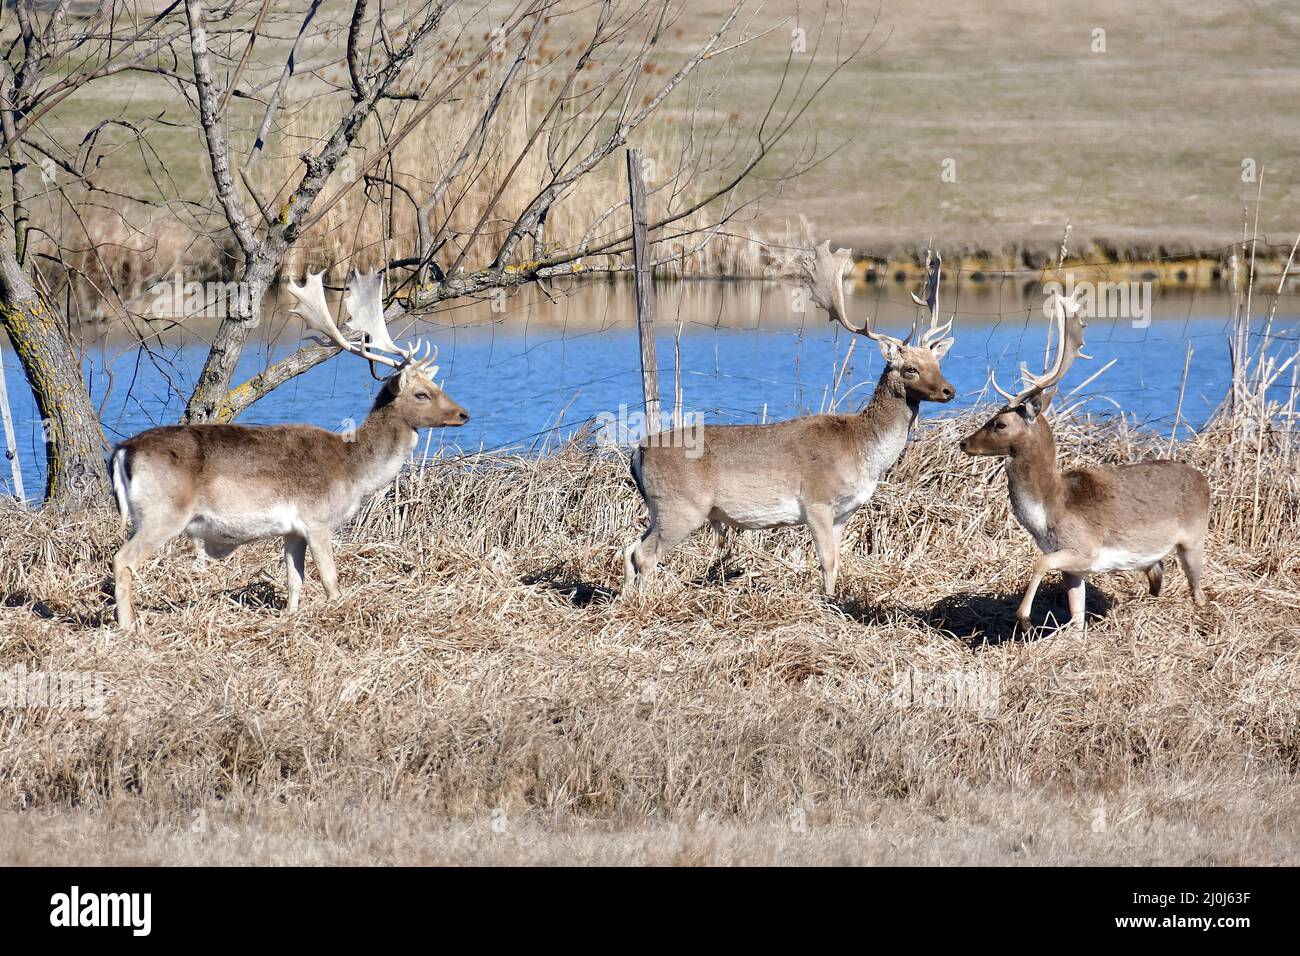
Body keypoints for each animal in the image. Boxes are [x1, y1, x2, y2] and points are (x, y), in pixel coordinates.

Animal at [109, 268, 469, 629]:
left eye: (435, 385)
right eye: (421, 394)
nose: (463, 414)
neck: (354, 470)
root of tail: (123, 450)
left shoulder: (292, 530)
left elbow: (295, 580)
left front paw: (290, 617)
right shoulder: (317, 518)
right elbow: (330, 579)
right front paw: (339, 613)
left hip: (144, 514)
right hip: (163, 512)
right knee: (122, 559)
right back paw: (129, 626)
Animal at [623, 241, 956, 595]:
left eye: (938, 363)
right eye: (911, 368)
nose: (949, 390)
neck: (861, 450)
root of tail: (639, 449)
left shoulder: (843, 513)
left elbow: (838, 561)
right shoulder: (817, 501)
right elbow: (827, 561)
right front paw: (828, 602)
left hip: (659, 508)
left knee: (629, 548)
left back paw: (627, 599)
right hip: (681, 506)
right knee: (644, 555)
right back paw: (648, 601)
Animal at [959, 290, 1210, 632]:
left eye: (999, 423)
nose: (964, 442)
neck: (1048, 512)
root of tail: (1204, 480)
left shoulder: (1086, 550)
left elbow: (1040, 562)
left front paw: (1024, 618)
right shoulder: (1073, 567)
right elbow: (1076, 615)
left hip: (1194, 537)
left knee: (1199, 591)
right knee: (1162, 575)